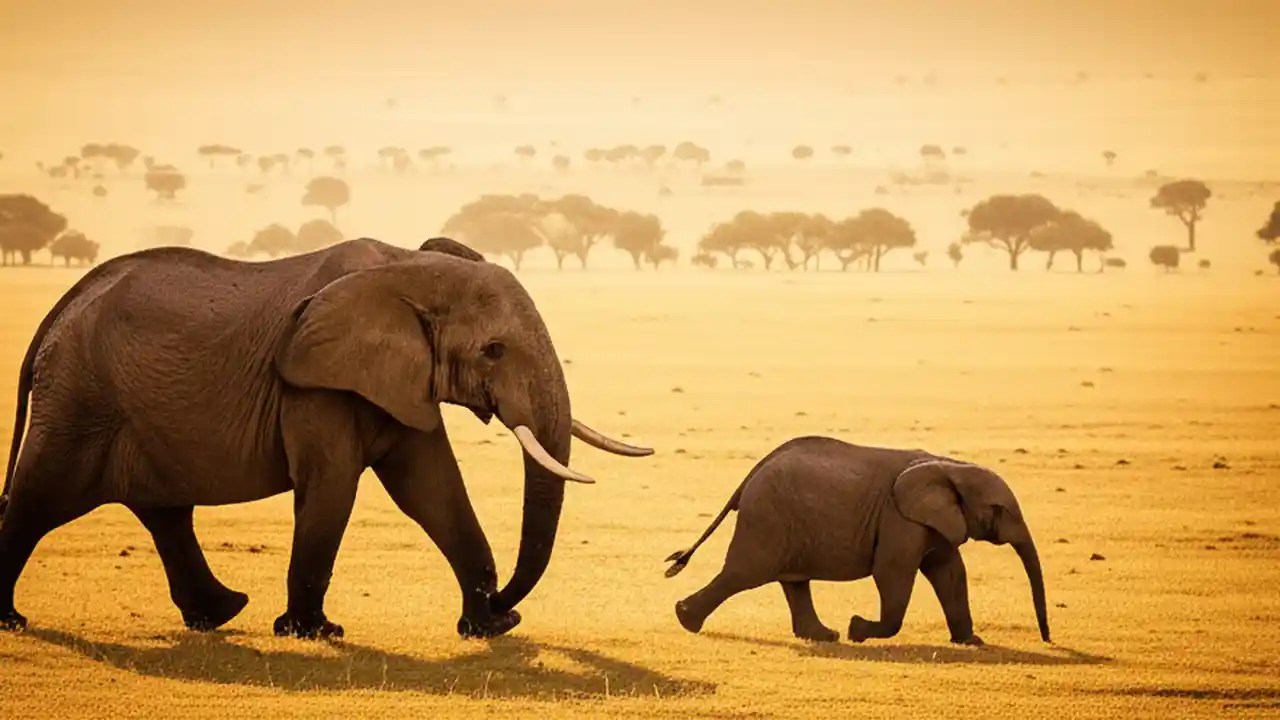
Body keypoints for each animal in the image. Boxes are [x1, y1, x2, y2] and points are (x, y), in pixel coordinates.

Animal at [0, 236, 652, 640]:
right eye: (493, 350)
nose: (503, 602)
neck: (404, 266)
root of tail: (60, 309)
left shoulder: (397, 380)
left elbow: (433, 490)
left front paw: (489, 629)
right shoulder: (316, 386)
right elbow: (334, 487)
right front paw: (314, 633)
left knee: (164, 512)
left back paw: (220, 613)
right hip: (78, 398)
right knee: (38, 498)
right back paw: (11, 621)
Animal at [664, 437, 1049, 646]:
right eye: (1000, 510)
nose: (1048, 639)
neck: (950, 466)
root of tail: (750, 476)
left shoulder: (933, 523)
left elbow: (950, 572)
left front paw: (972, 642)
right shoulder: (899, 519)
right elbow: (893, 573)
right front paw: (857, 629)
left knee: (792, 580)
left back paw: (824, 636)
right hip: (767, 517)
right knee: (744, 574)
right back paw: (686, 619)